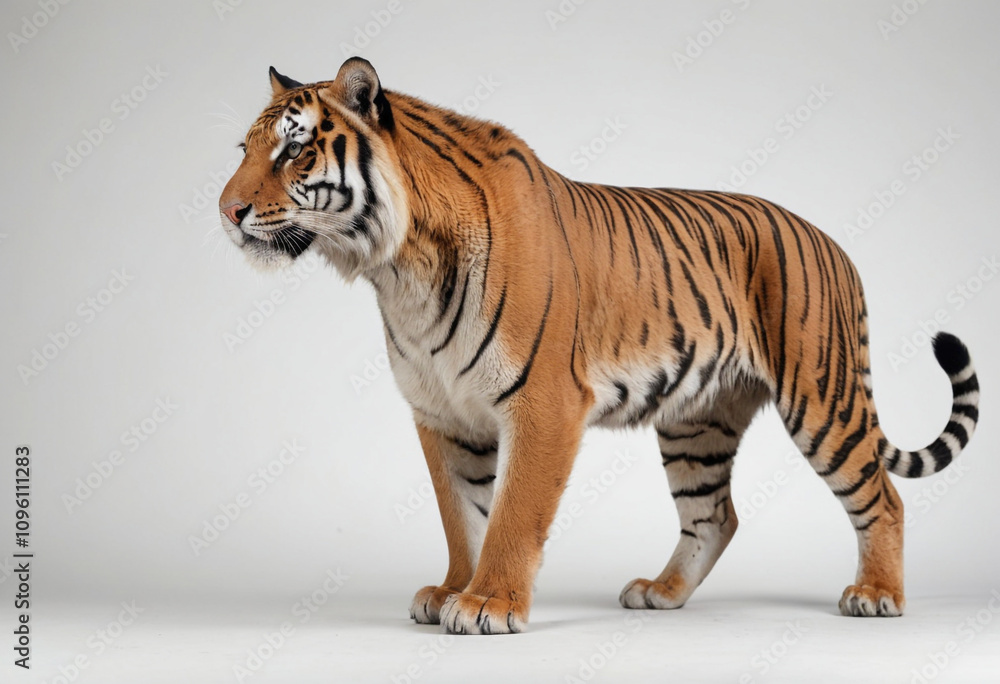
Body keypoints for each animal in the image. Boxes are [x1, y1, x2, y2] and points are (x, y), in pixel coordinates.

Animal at [218, 57, 980, 634]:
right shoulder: (443, 414)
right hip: (697, 424)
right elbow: (461, 515)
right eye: (245, 150)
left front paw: (489, 603)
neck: (398, 267)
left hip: (822, 397)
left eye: (295, 149)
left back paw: (876, 596)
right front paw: (453, 589)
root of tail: (834, 244)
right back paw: (661, 593)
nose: (226, 212)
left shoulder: (542, 403)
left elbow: (513, 513)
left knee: (883, 497)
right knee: (715, 516)